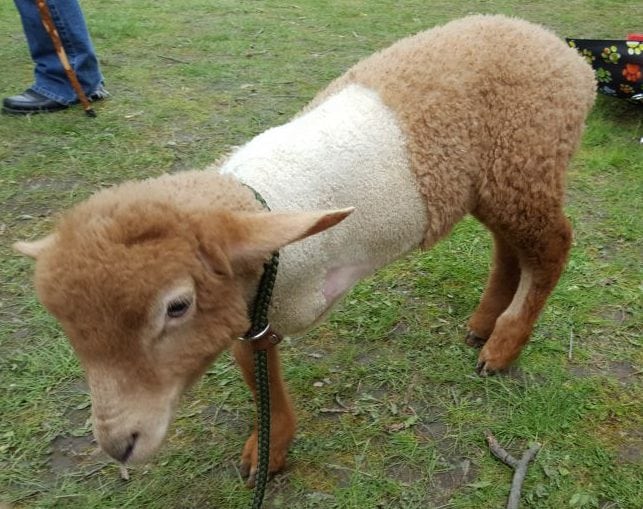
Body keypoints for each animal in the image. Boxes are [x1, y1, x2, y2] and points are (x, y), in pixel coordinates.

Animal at [14, 14, 595, 482]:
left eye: (177, 306)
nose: (119, 445)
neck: (260, 200)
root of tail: (560, 49)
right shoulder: (252, 308)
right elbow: (260, 378)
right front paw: (268, 452)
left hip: (529, 157)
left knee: (551, 247)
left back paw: (503, 345)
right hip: (495, 179)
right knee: (508, 246)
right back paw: (484, 323)